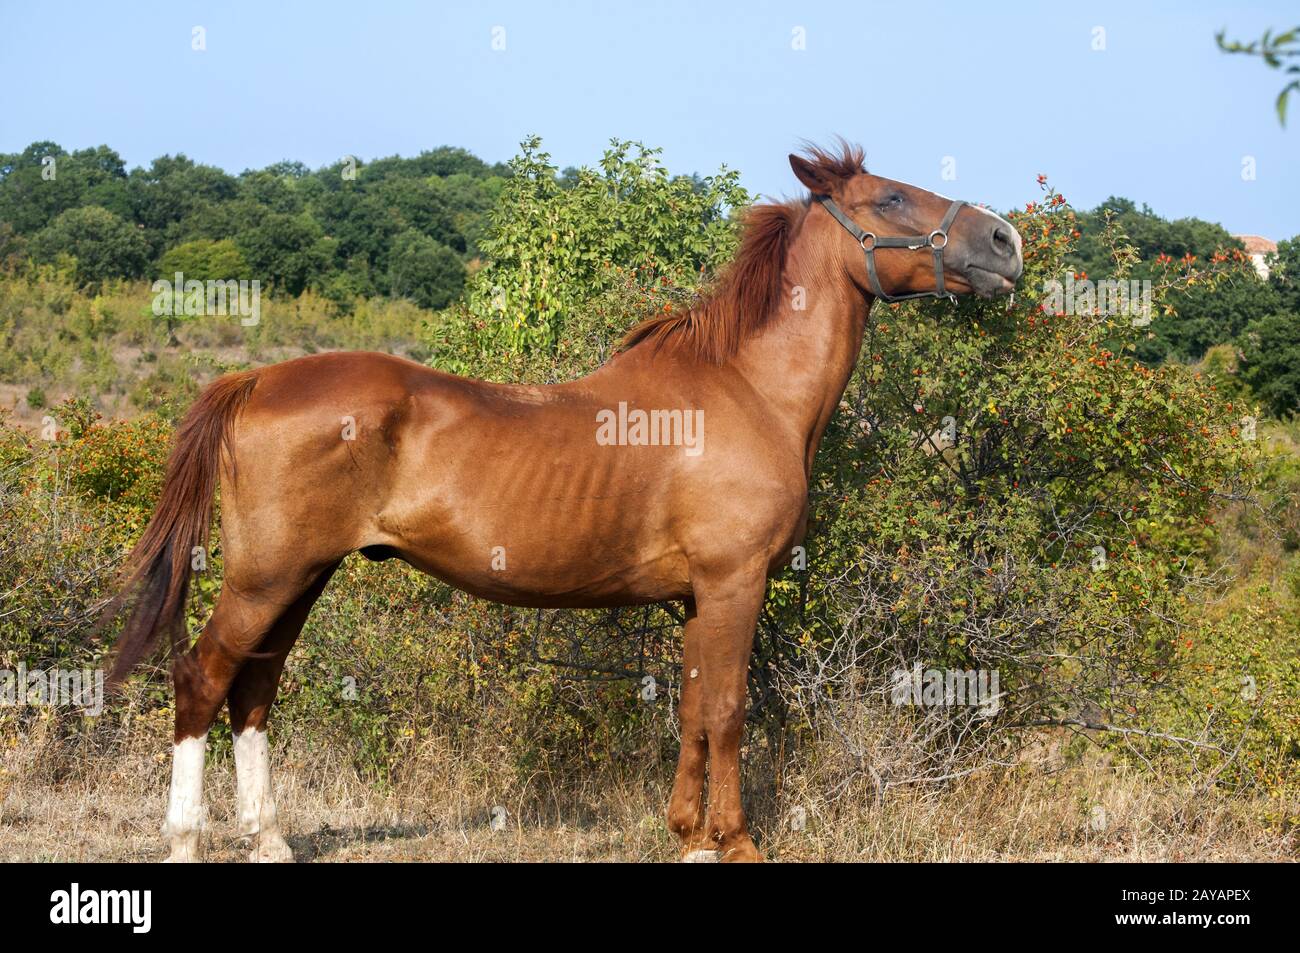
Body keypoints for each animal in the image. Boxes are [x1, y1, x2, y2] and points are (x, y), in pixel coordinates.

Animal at [104, 143, 1022, 863]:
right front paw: (735, 840)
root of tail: (256, 378)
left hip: (302, 577)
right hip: (266, 576)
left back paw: (270, 838)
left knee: (253, 691)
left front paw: (688, 833)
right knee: (200, 678)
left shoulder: (699, 595)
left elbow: (693, 706)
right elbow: (727, 710)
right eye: (889, 198)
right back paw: (185, 839)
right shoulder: (735, 581)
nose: (1006, 242)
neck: (748, 388)